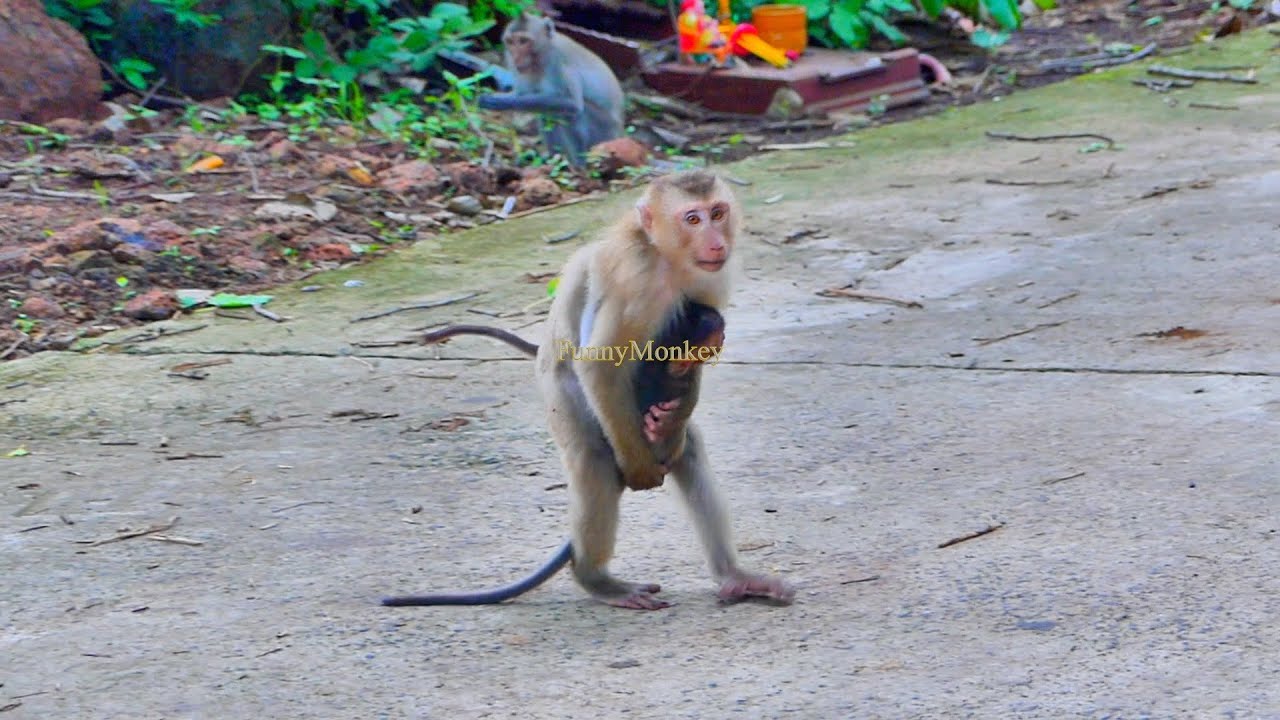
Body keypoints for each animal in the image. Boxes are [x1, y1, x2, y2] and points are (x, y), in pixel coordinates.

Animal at [382, 170, 794, 610]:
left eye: (717, 213)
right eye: (693, 219)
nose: (716, 241)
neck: (665, 256)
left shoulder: (710, 275)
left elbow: (699, 343)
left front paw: (673, 418)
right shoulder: (635, 277)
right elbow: (599, 363)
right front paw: (639, 467)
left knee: (689, 450)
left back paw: (733, 575)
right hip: (564, 394)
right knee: (593, 454)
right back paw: (596, 578)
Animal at [475, 12, 625, 167]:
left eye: (523, 41)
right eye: (511, 42)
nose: (516, 57)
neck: (540, 56)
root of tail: (620, 132)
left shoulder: (557, 62)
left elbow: (572, 103)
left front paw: (502, 102)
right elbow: (522, 93)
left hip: (605, 134)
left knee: (571, 114)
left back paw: (579, 165)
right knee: (549, 114)